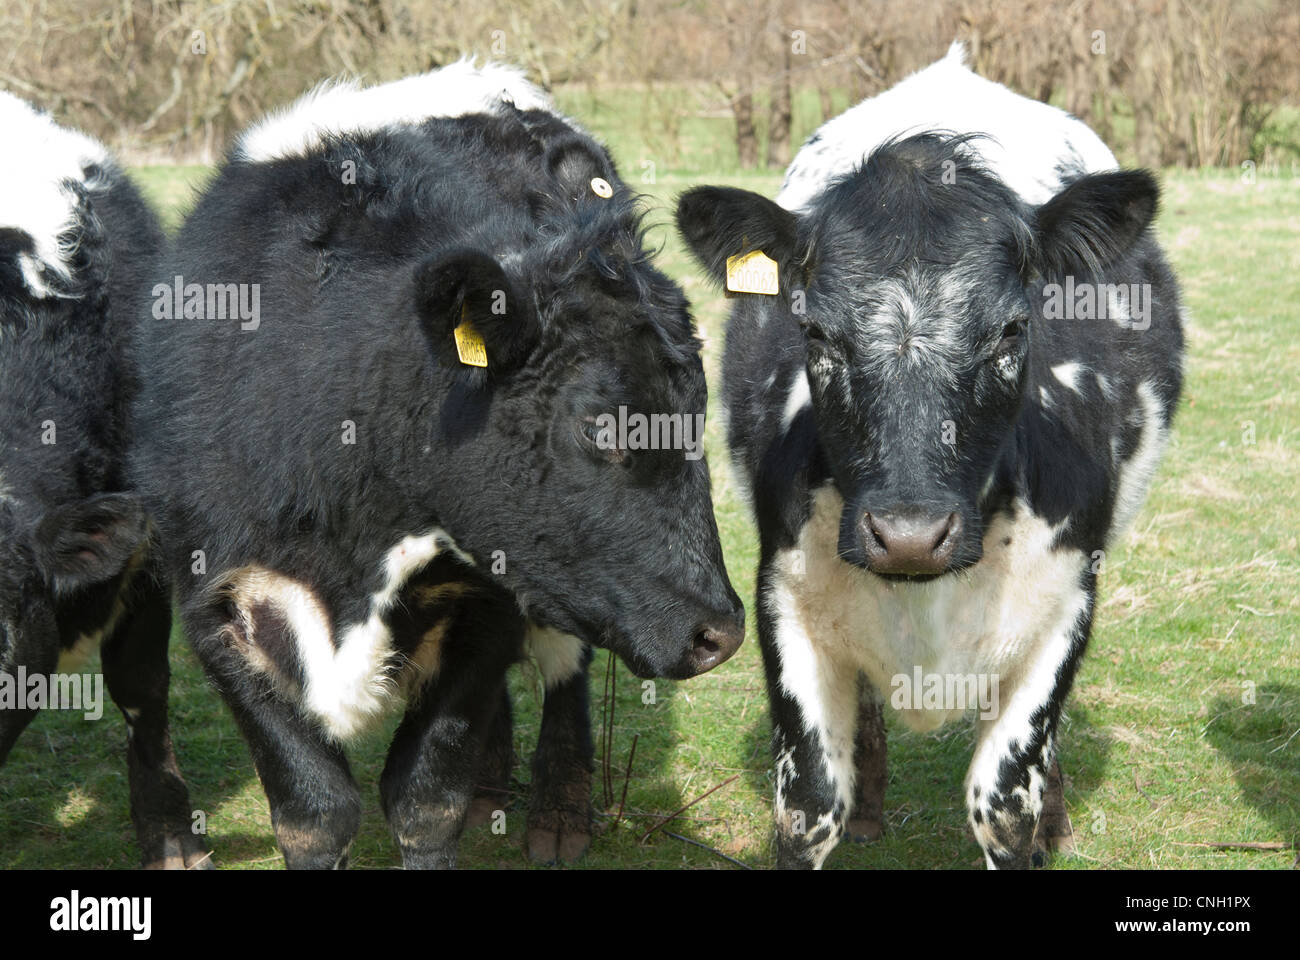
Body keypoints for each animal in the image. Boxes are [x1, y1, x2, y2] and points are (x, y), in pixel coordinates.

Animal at [129, 61, 745, 869]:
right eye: (600, 427)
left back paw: (559, 810)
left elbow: (426, 798)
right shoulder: (217, 603)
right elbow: (312, 811)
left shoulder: (488, 605)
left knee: (565, 670)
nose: (720, 633)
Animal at [676, 44, 1184, 869]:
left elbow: (1002, 800)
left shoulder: (1068, 597)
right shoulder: (781, 593)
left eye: (1012, 330)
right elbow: (808, 801)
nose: (909, 535)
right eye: (815, 332)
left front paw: (1037, 823)